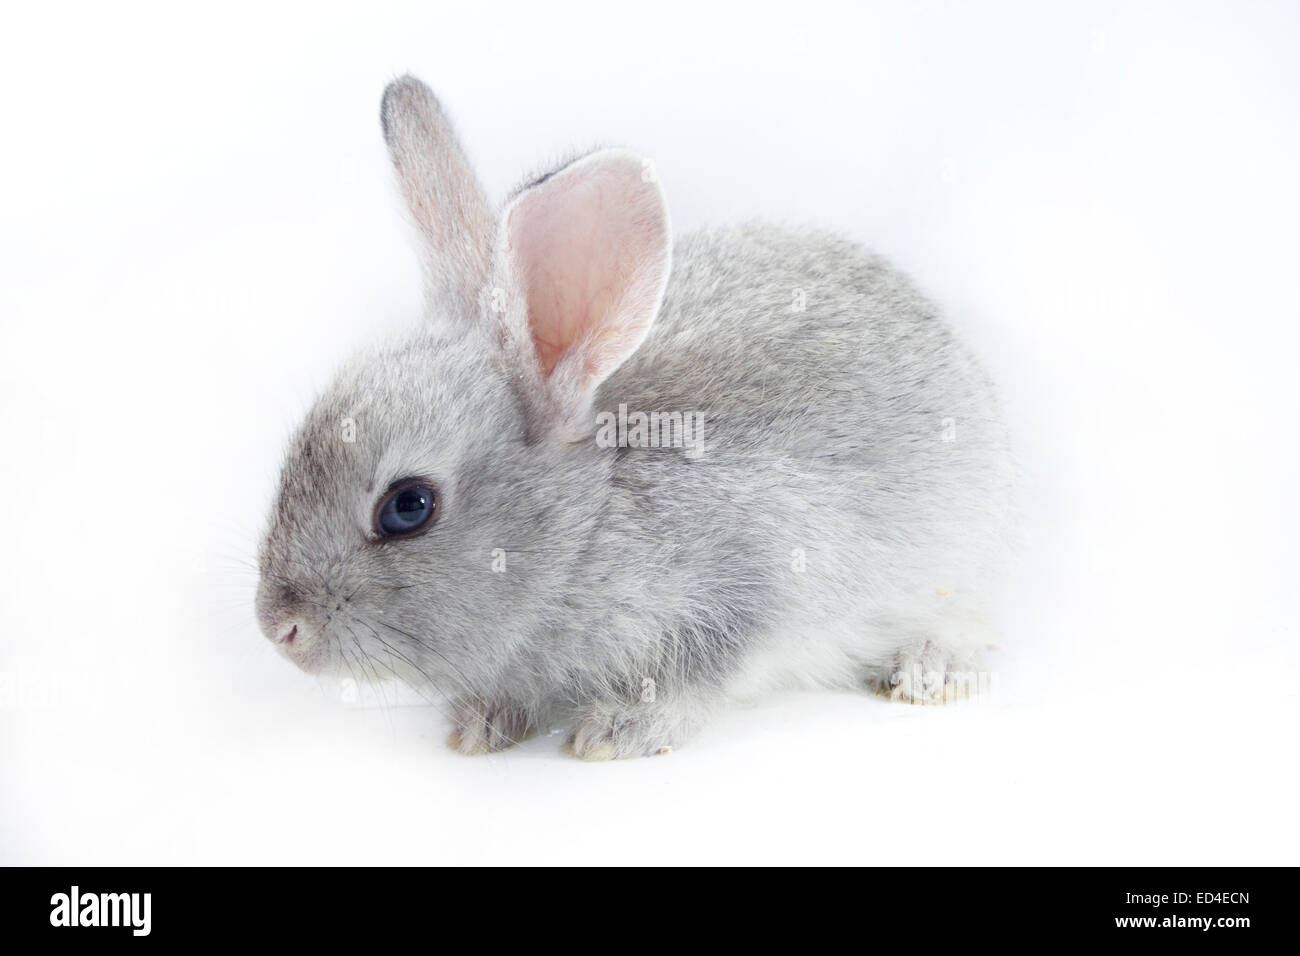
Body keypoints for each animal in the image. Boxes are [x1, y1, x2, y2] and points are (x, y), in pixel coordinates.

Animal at [254, 75, 1018, 760]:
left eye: (408, 506)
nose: (277, 629)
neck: (584, 530)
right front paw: (482, 726)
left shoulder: (747, 588)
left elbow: (695, 681)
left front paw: (618, 732)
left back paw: (926, 672)